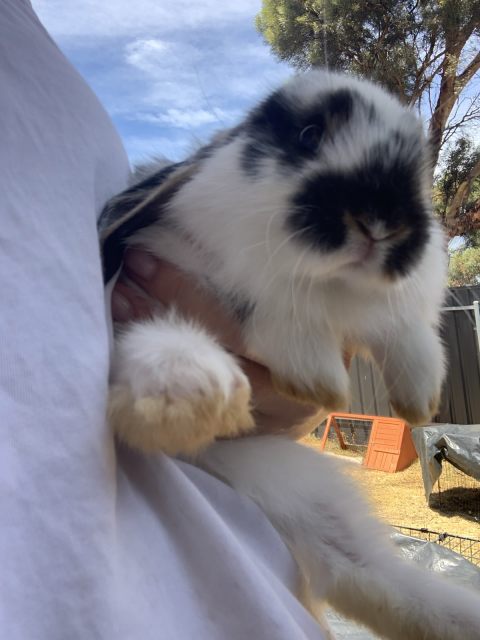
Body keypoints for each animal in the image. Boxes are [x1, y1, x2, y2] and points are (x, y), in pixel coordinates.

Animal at [99, 70, 480, 639]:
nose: (382, 220)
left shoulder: (400, 306)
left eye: (416, 168)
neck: (329, 289)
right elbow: (263, 323)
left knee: (380, 578)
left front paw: (418, 398)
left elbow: (408, 337)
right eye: (308, 134)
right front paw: (226, 390)